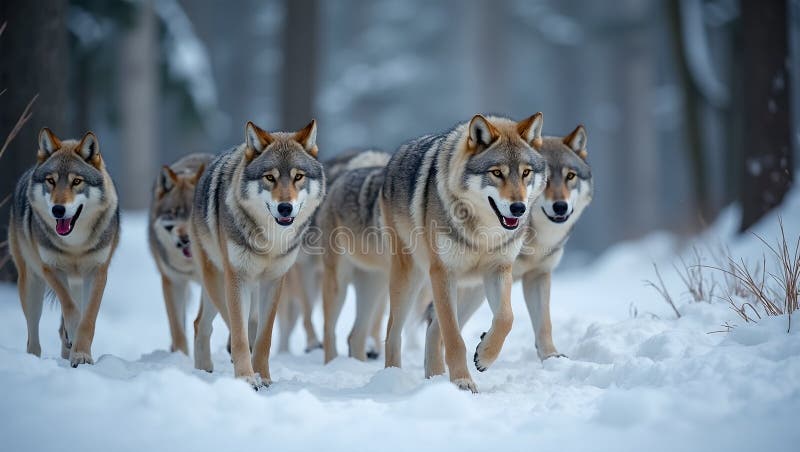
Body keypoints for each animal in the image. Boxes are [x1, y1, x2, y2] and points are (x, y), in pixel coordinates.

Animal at [8, 128, 120, 367]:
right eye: (51, 181)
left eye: (76, 181)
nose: (58, 210)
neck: (75, 245)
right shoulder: (50, 268)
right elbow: (70, 308)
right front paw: (74, 334)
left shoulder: (98, 272)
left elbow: (88, 319)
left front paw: (82, 354)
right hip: (32, 286)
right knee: (33, 339)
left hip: (77, 283)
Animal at [148, 153, 213, 355]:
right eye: (173, 212)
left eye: (193, 211)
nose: (185, 238)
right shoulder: (173, 281)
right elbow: (177, 329)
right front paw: (180, 357)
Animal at [190, 120, 324, 387]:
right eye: (270, 177)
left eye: (298, 177)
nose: (285, 207)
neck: (270, 242)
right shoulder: (236, 277)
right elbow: (240, 334)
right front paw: (246, 378)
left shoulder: (274, 281)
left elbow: (264, 338)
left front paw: (264, 376)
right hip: (216, 279)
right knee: (207, 323)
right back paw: (204, 371)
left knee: (212, 323)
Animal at [381, 113, 547, 392]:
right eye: (497, 173)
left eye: (526, 173)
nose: (519, 208)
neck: (483, 235)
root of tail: (396, 156)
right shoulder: (443, 272)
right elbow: (454, 338)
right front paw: (462, 381)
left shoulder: (499, 270)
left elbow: (506, 318)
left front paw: (484, 355)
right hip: (410, 280)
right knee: (393, 332)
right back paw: (391, 380)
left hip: (472, 290)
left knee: (432, 330)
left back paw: (435, 378)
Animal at [424, 125, 593, 375]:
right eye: (546, 180)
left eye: (570, 176)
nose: (560, 206)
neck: (536, 240)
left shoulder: (538, 275)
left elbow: (543, 322)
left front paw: (551, 357)